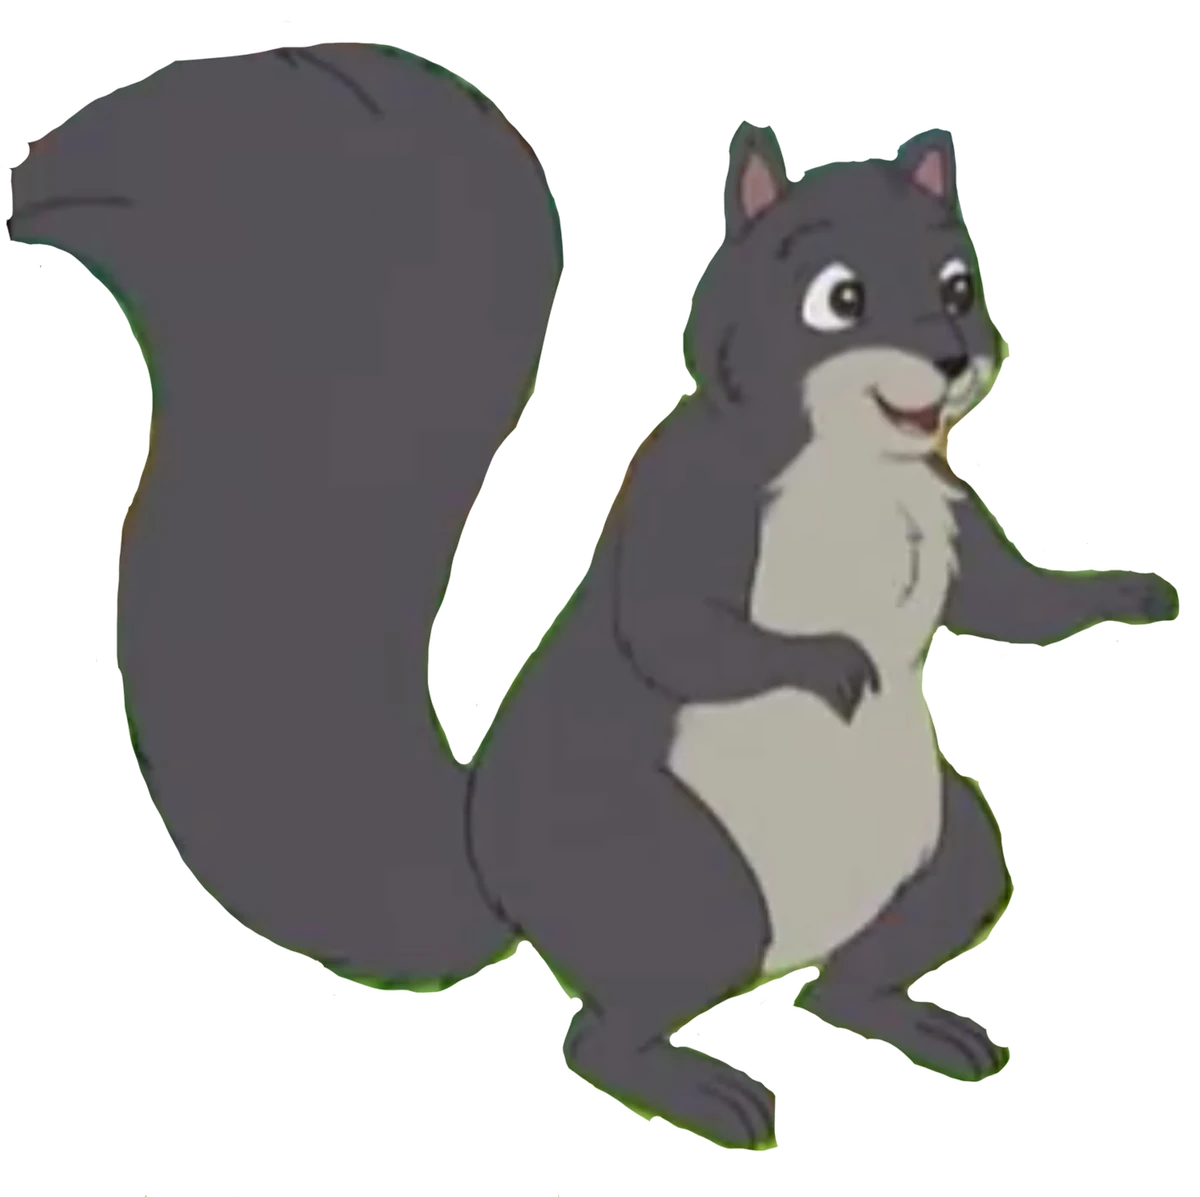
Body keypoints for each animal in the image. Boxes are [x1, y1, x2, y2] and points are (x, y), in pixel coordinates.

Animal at [10, 44, 1179, 1151]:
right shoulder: (686, 510)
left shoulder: (945, 514)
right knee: (603, 1036)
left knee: (846, 981)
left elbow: (1013, 600)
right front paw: (836, 664)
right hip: (681, 879)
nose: (952, 355)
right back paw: (704, 1089)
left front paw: (1122, 591)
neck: (857, 469)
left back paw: (914, 1022)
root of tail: (504, 890)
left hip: (952, 848)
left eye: (957, 283)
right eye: (838, 297)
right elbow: (680, 634)